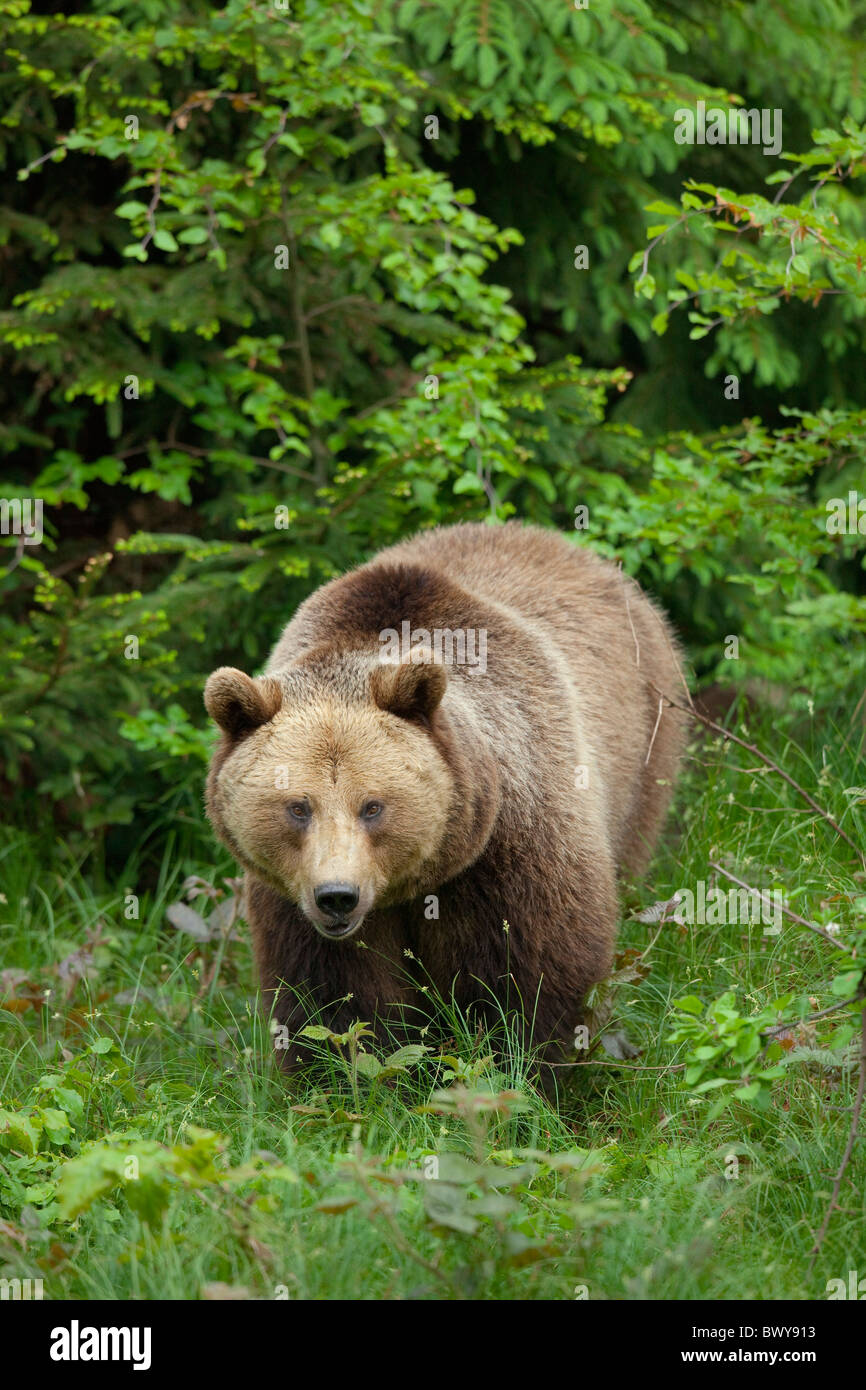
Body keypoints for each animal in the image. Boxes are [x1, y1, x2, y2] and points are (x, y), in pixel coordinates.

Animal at [203, 521, 686, 1071]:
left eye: (373, 806)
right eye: (298, 807)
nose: (338, 896)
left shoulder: (509, 846)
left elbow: (529, 978)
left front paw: (526, 1068)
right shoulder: (292, 896)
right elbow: (332, 1003)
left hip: (646, 745)